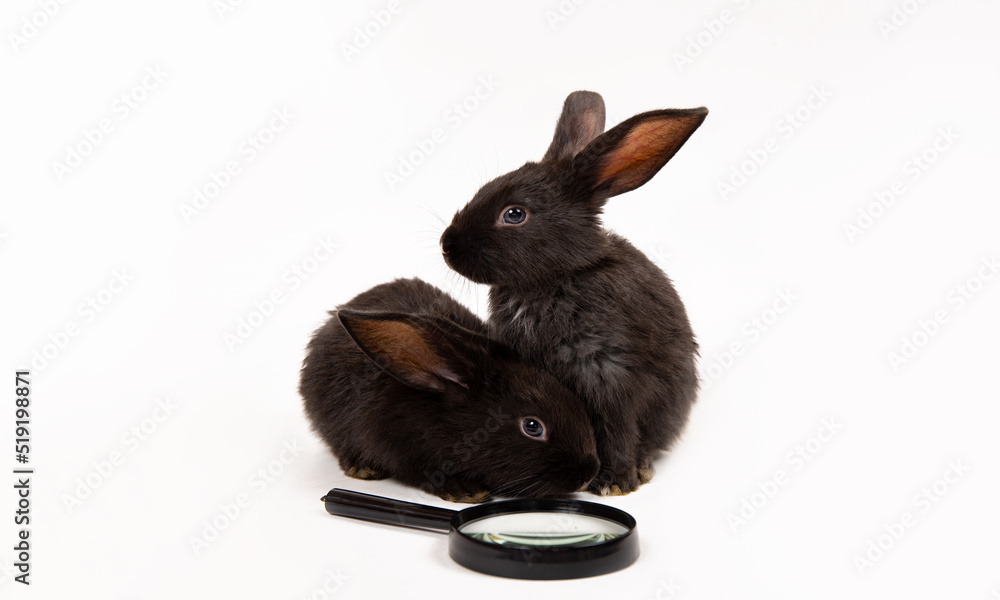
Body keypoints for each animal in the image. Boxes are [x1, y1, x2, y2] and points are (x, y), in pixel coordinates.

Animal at [439, 91, 707, 496]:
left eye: (514, 214)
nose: (447, 246)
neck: (560, 276)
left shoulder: (610, 376)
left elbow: (617, 430)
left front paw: (614, 483)